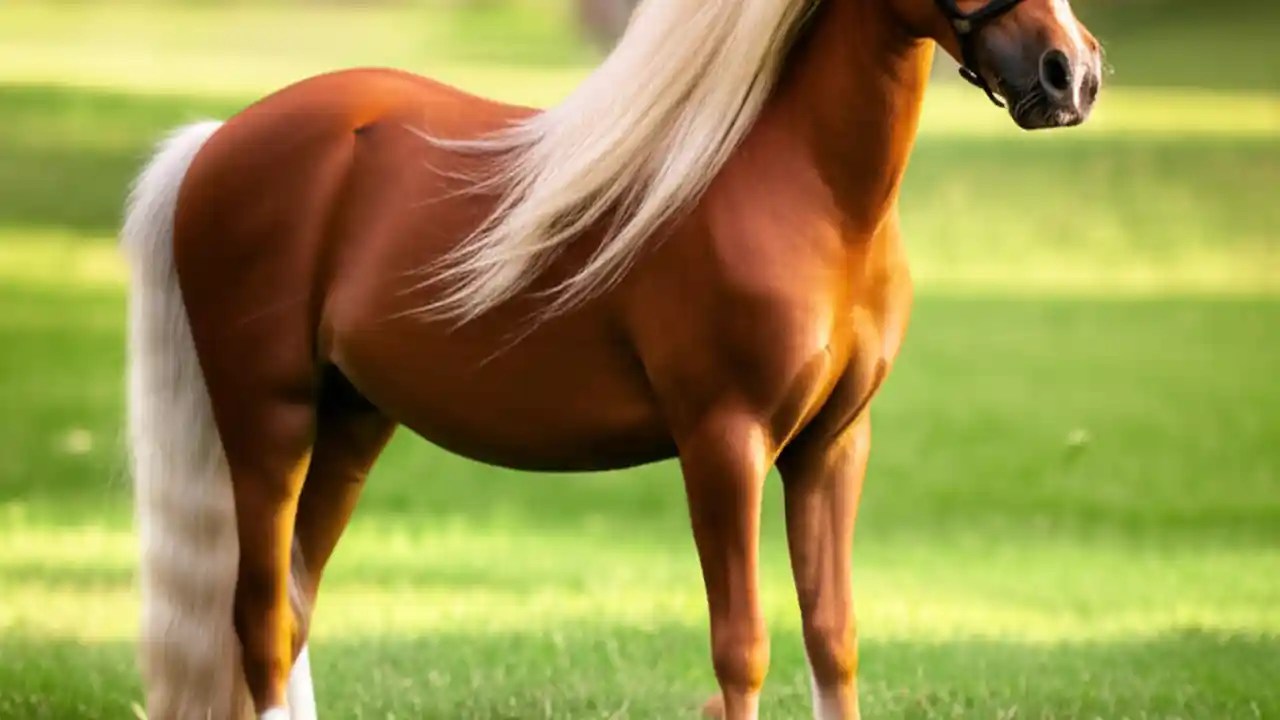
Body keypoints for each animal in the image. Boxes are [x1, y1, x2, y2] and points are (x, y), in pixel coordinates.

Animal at [121, 0, 1101, 717]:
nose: (1073, 71)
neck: (805, 193)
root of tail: (215, 142)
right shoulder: (725, 445)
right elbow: (741, 647)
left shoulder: (832, 449)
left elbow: (834, 639)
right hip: (268, 426)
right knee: (257, 625)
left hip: (351, 426)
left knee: (289, 614)